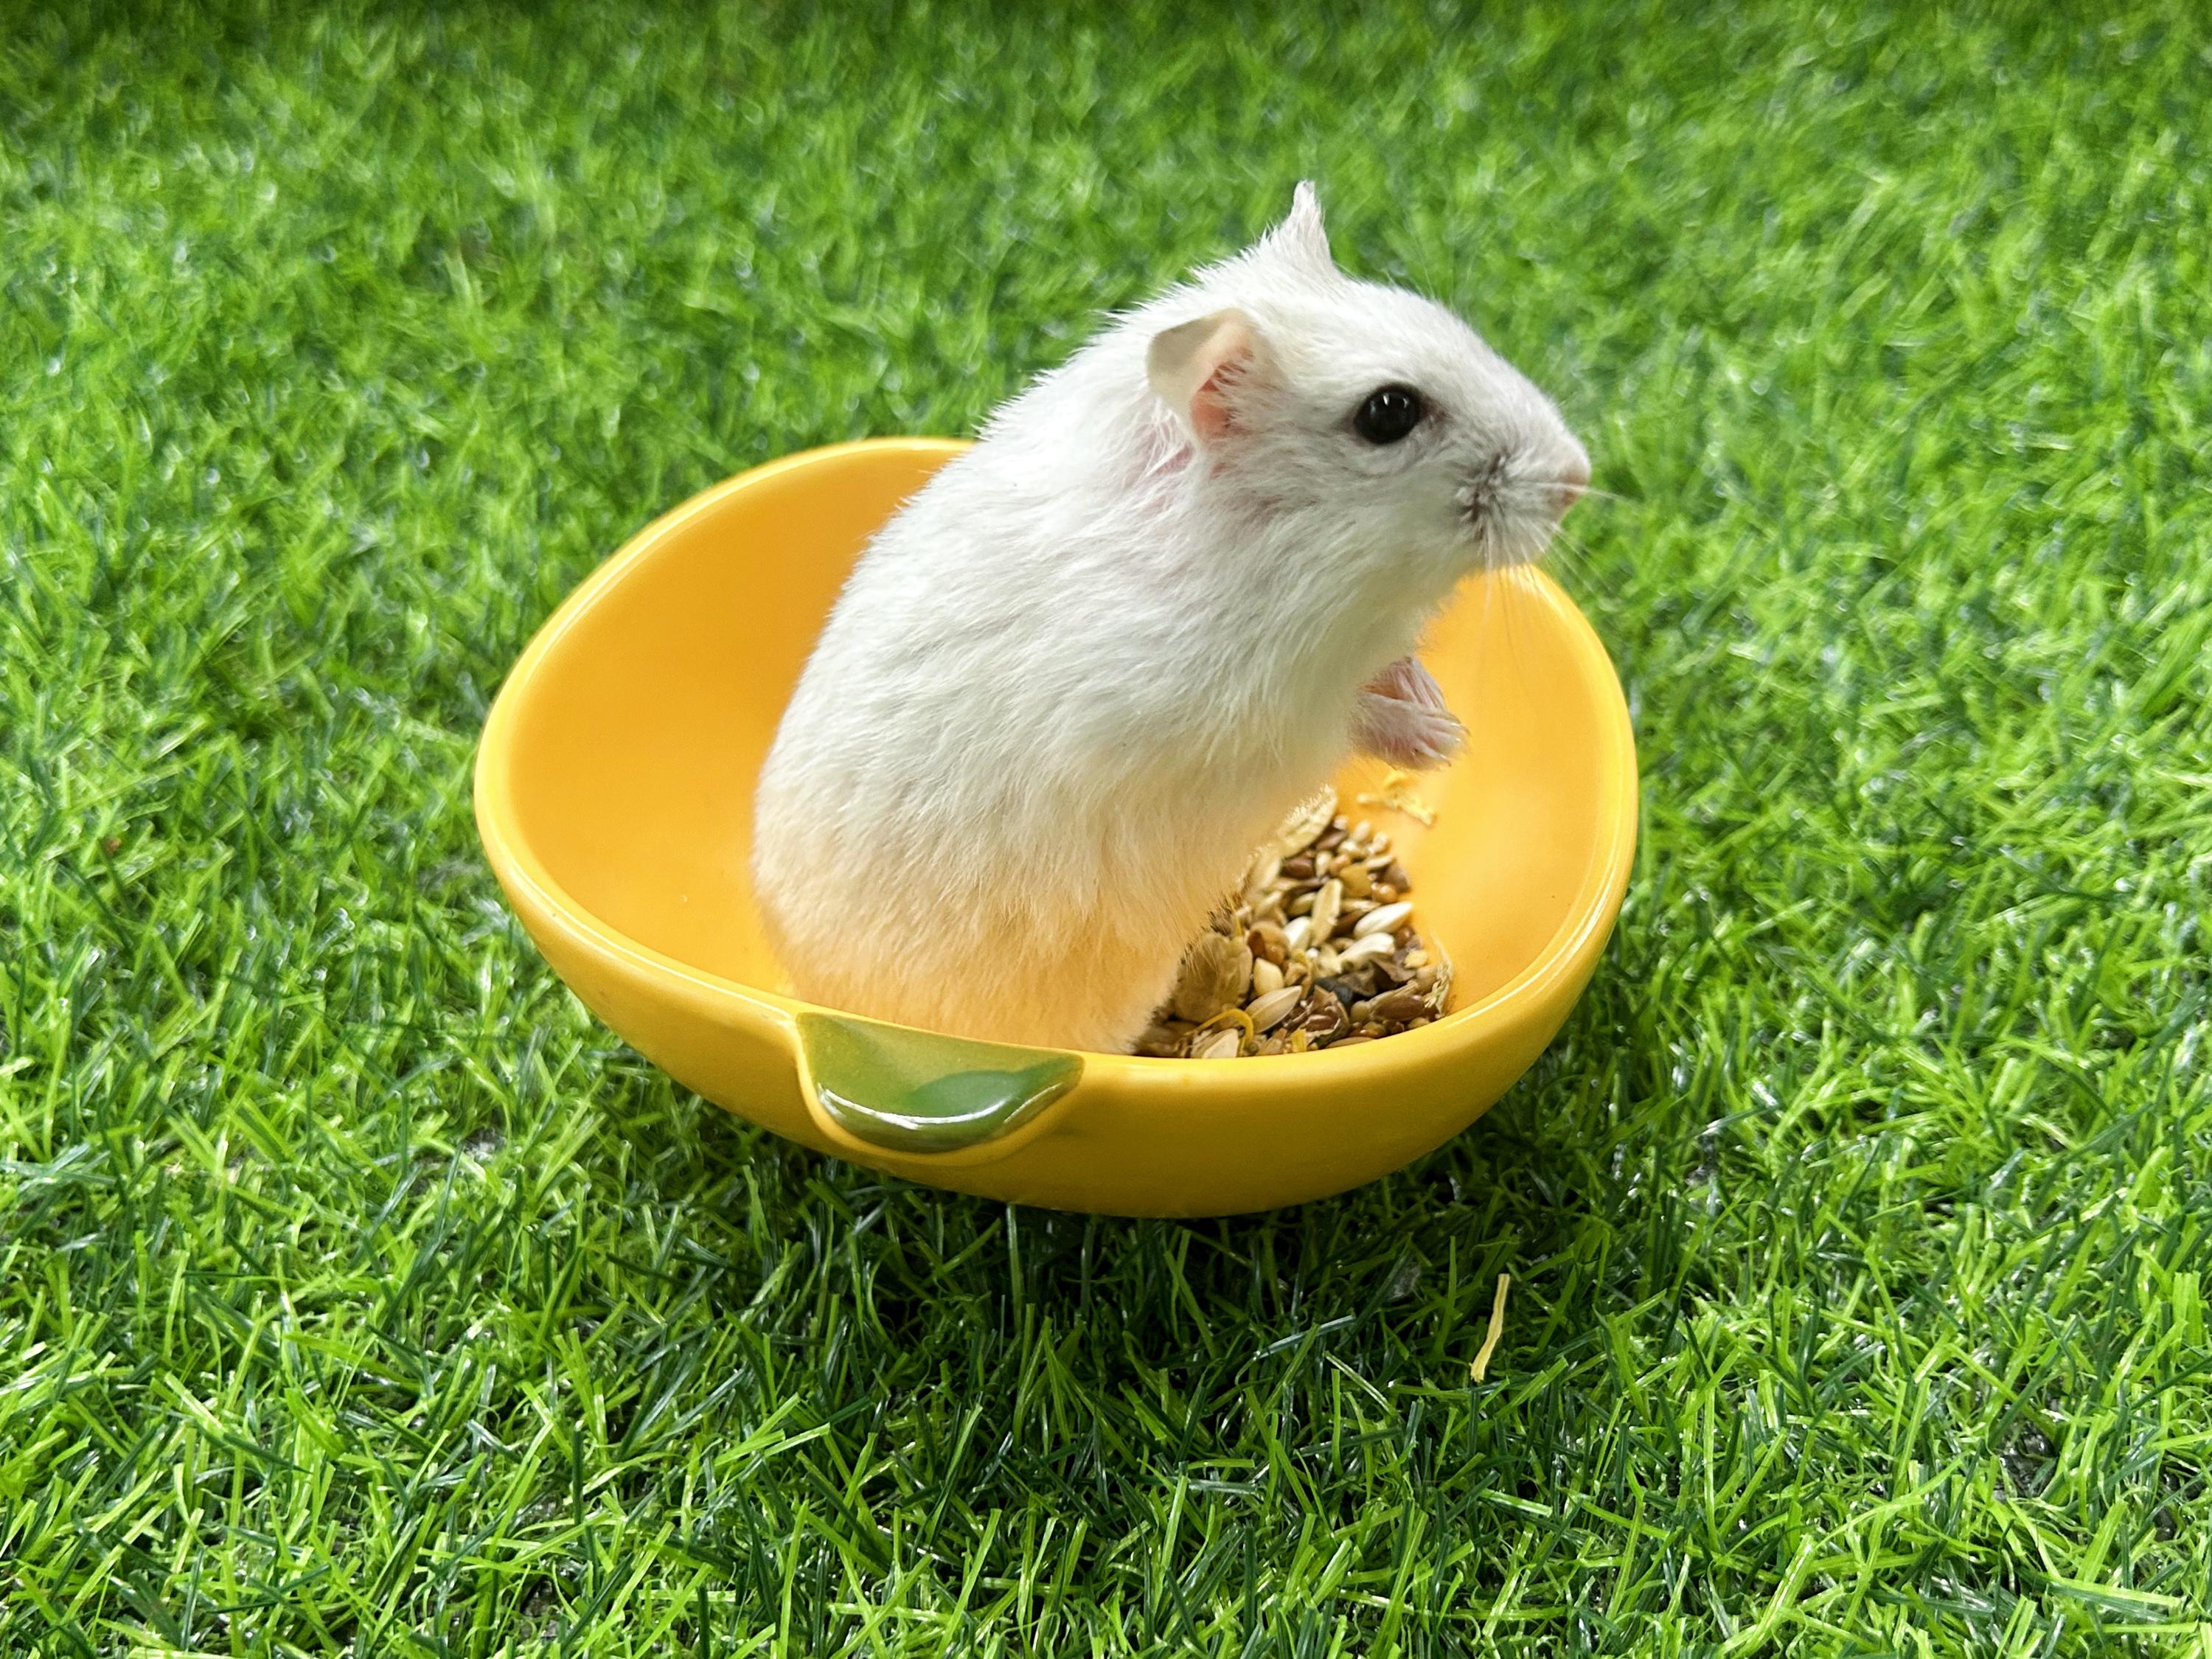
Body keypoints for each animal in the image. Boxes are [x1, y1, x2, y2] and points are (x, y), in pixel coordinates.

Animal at [752, 184, 1588, 1054]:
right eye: (1388, 413)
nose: (1578, 477)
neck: (1311, 576)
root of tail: (820, 1004)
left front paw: (1433, 700)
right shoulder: (1232, 727)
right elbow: (1346, 719)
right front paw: (1441, 738)